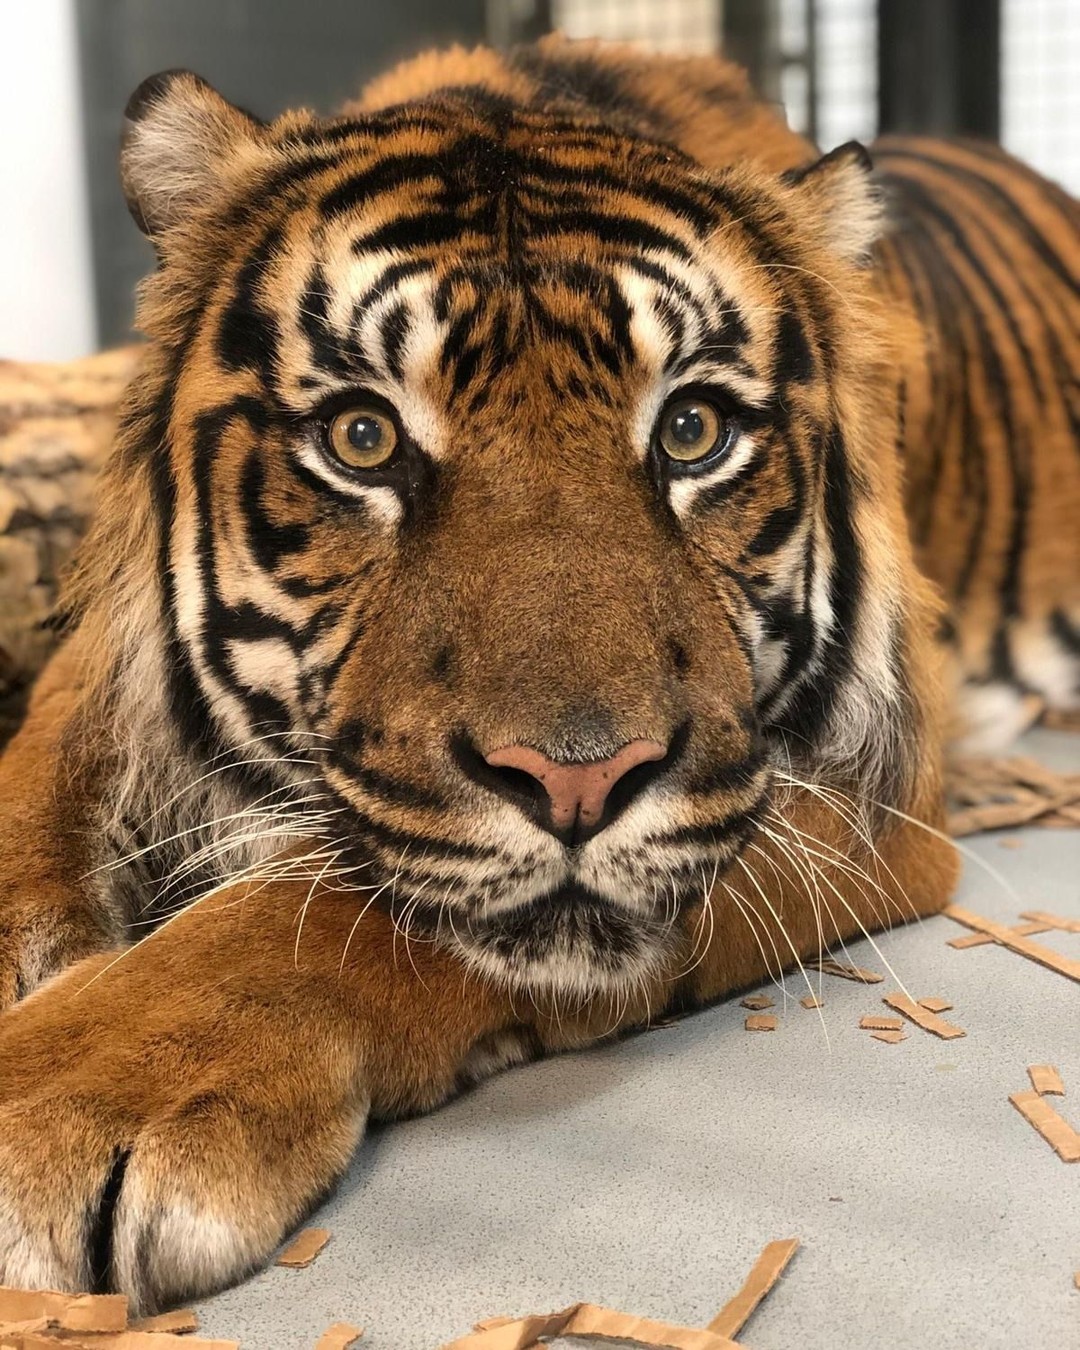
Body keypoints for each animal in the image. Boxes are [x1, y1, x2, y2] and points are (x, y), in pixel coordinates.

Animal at [0, 34, 1076, 1312]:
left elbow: (308, 919)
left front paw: (59, 1106)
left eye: (693, 433)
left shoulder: (862, 799)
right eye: (362, 437)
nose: (579, 782)